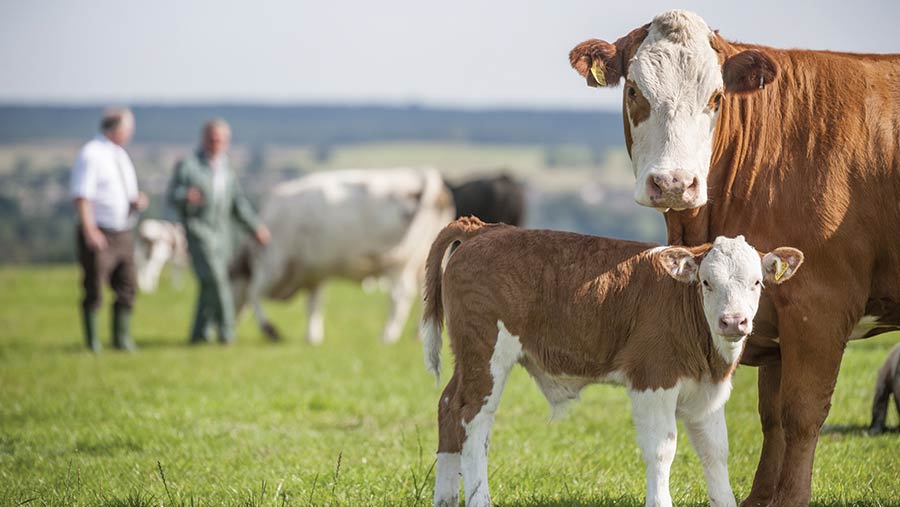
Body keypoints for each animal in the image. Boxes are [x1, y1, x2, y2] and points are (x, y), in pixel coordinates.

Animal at [231, 168, 455, 344]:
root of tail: (427, 175)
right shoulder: (314, 273)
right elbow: (313, 304)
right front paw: (312, 336)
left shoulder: (275, 265)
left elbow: (253, 294)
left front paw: (270, 330)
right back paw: (420, 334)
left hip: (398, 264)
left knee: (399, 296)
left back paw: (387, 335)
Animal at [421, 217, 804, 507]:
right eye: (707, 282)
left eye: (757, 282)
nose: (733, 321)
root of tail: (486, 228)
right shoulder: (653, 379)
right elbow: (662, 449)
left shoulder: (706, 392)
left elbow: (715, 451)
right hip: (486, 354)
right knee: (474, 419)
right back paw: (477, 499)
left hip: (468, 359)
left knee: (448, 406)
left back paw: (445, 498)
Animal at [568, 9, 900, 506]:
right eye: (634, 92)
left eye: (716, 97)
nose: (673, 182)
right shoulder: (776, 323)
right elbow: (772, 417)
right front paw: (762, 498)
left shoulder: (820, 308)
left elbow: (802, 413)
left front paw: (791, 498)